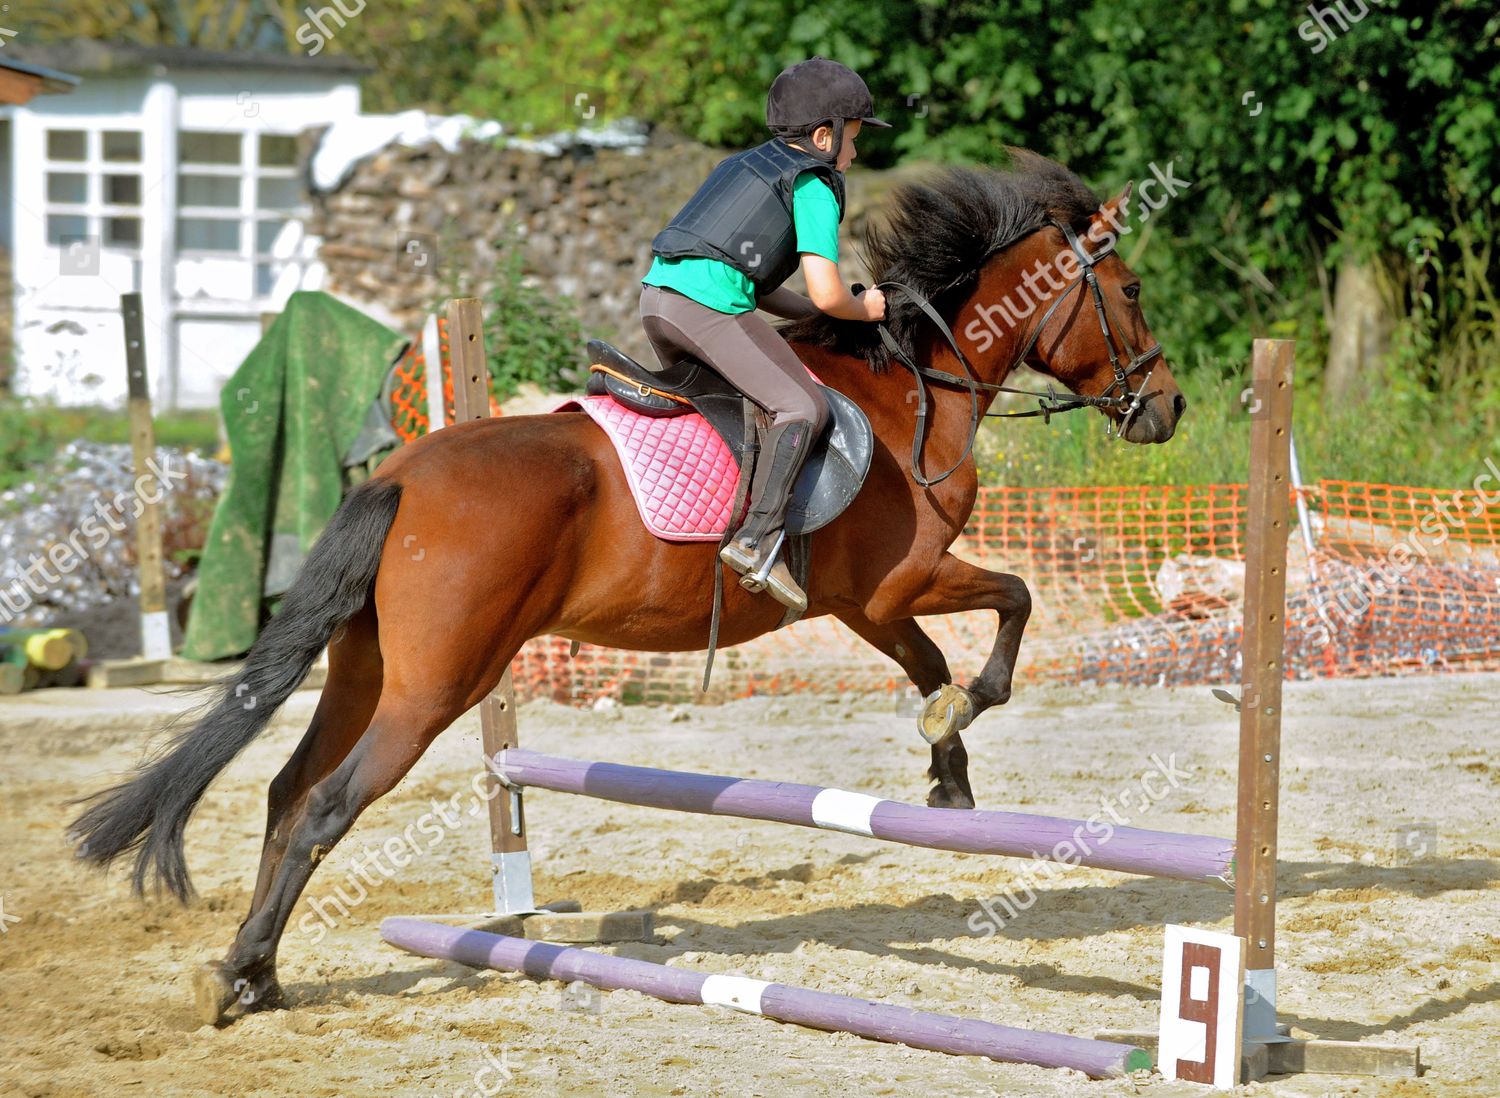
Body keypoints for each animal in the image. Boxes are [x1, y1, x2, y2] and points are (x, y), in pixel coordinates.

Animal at [70, 151, 1186, 1025]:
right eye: (1130, 291)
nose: (1167, 410)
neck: (912, 388)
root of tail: (402, 476)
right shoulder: (899, 581)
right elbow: (1013, 602)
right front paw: (969, 713)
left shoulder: (862, 604)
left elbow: (929, 662)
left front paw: (947, 772)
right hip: (436, 686)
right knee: (326, 805)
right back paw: (239, 977)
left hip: (367, 668)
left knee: (285, 791)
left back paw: (255, 975)